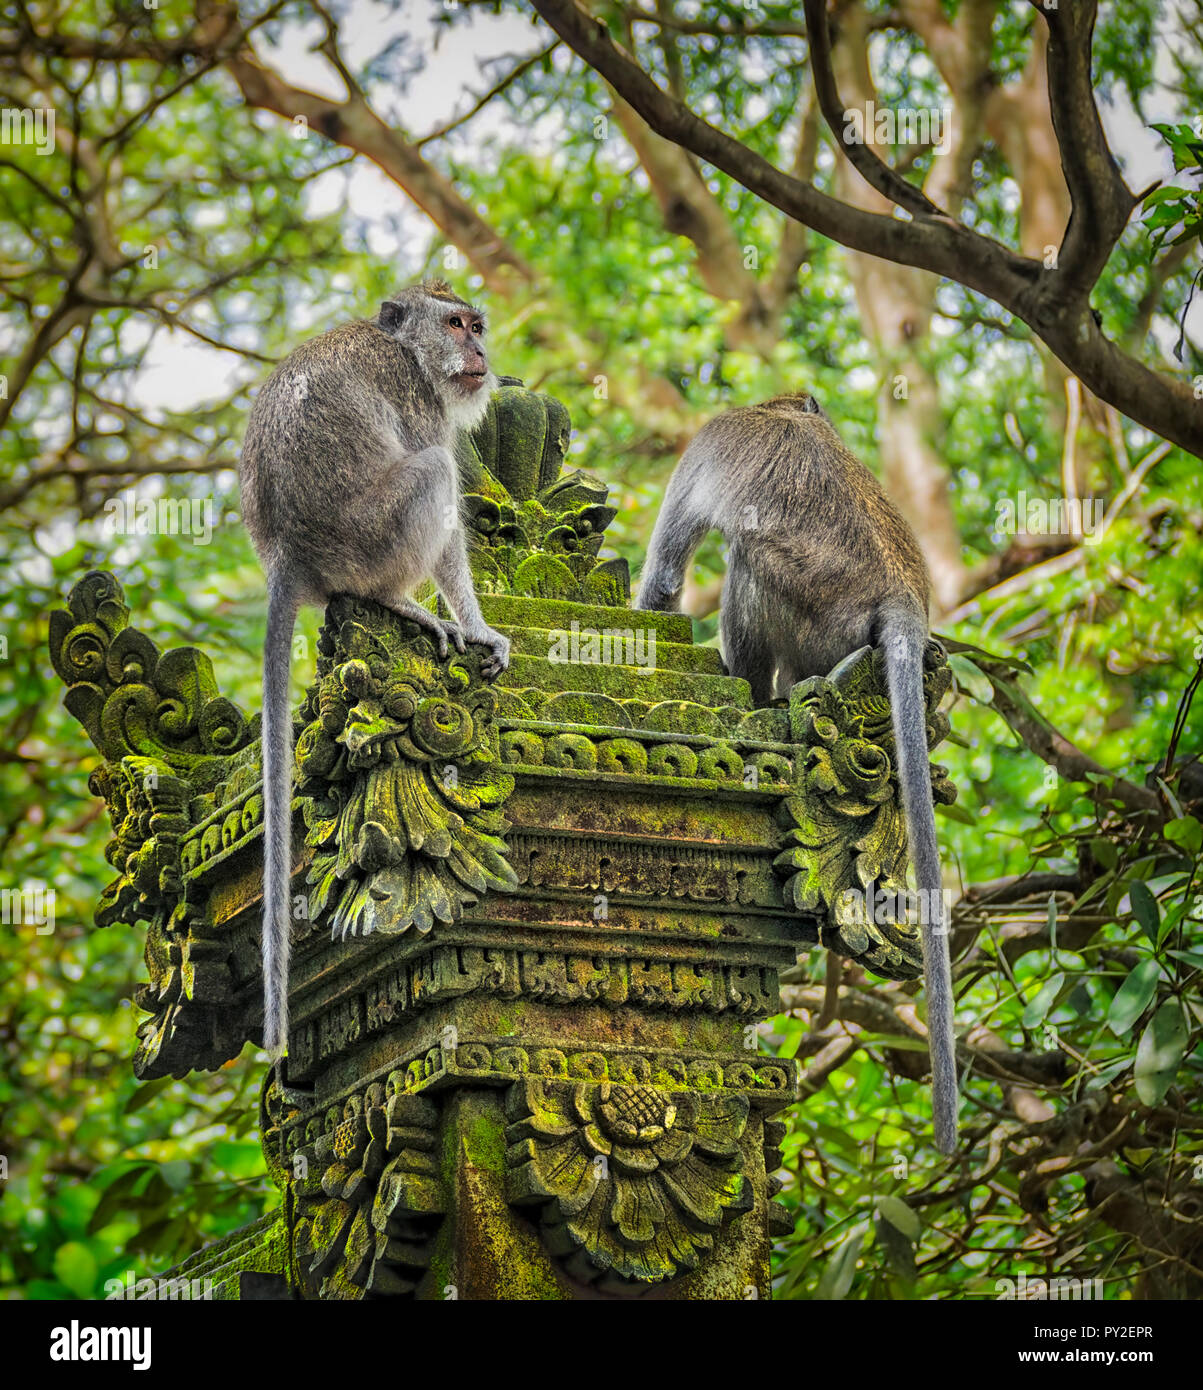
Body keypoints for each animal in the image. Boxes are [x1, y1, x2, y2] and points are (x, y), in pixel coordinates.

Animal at [239, 278, 511, 1058]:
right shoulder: (417, 397)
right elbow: (444, 502)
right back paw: (402, 602)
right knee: (432, 475)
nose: (480, 354)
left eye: (476, 325)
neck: (402, 347)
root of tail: (289, 554)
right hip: (371, 534)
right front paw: (478, 627)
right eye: (455, 325)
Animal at [635, 391, 958, 1153]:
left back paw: (754, 692)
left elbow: (666, 576)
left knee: (748, 556)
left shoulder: (712, 437)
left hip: (808, 610)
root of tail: (903, 600)